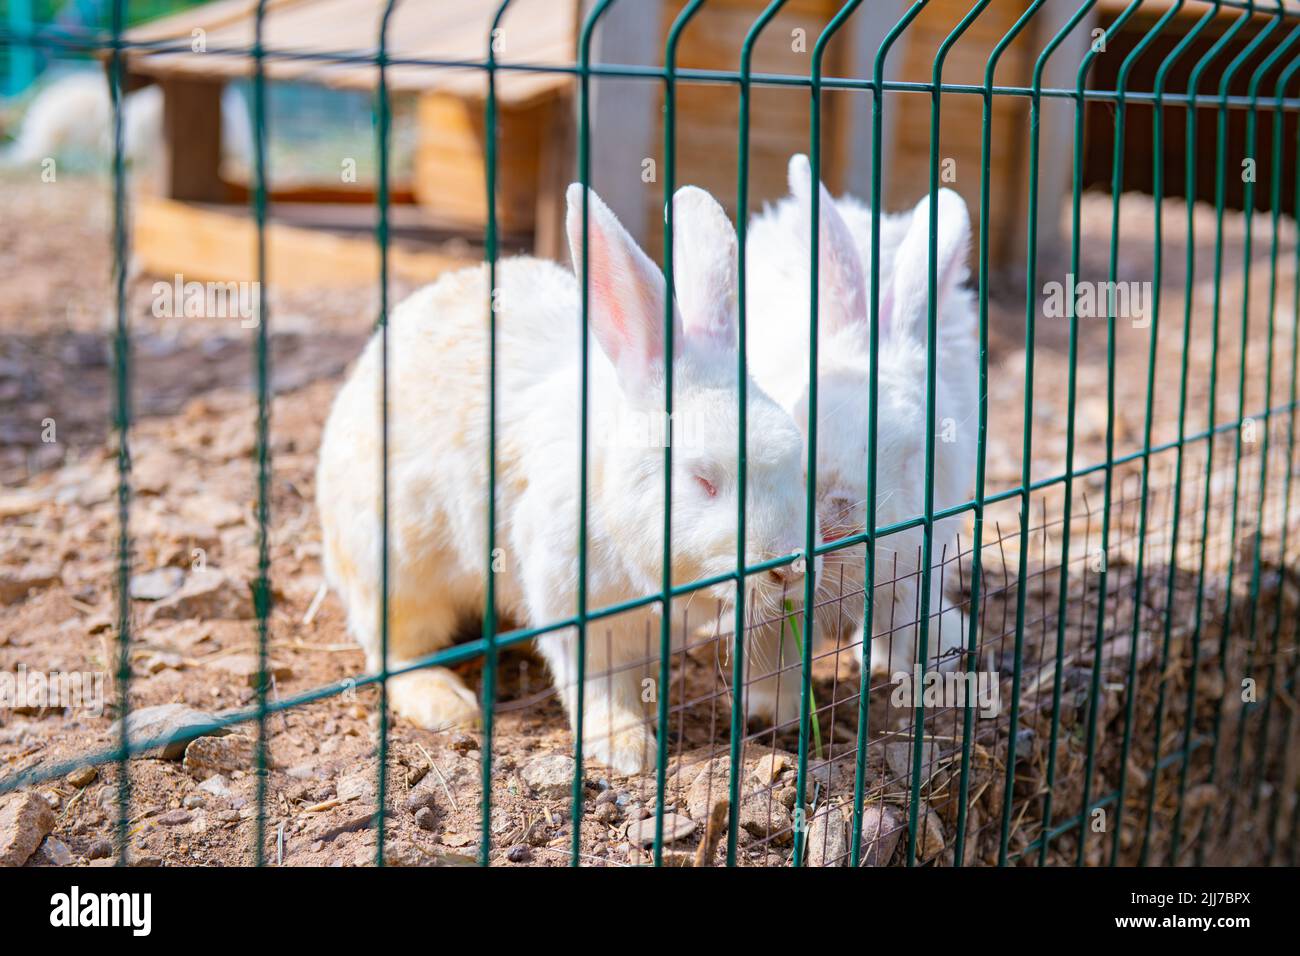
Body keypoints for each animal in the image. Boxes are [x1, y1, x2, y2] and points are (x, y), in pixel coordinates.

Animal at [316, 182, 810, 773]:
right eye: (703, 480)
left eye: (797, 459)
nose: (788, 569)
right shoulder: (574, 606)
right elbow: (598, 685)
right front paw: (625, 748)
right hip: (396, 573)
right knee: (394, 651)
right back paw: (446, 703)